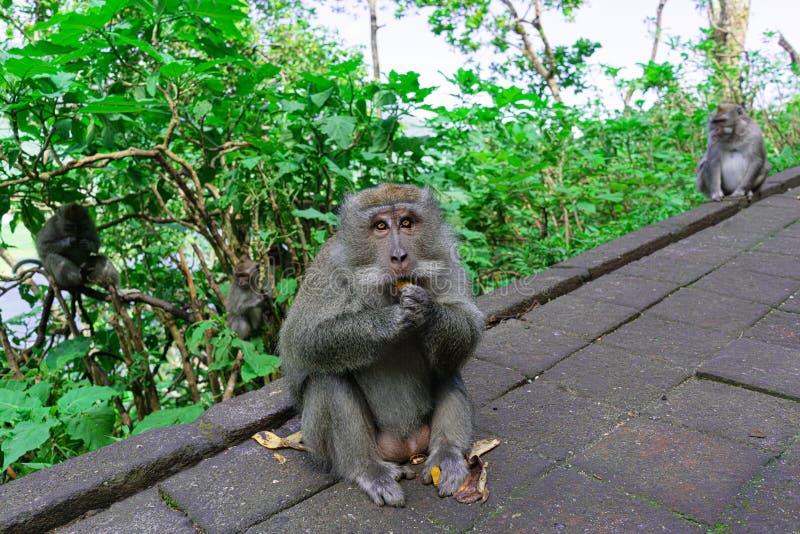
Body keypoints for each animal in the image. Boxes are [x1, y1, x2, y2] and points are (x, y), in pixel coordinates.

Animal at [278, 183, 484, 507]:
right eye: (380, 227)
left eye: (407, 223)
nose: (399, 256)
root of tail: (406, 447)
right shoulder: (327, 267)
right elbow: (300, 341)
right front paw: (387, 321)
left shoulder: (446, 256)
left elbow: (469, 325)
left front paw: (429, 312)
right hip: (324, 445)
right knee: (328, 379)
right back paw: (367, 469)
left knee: (447, 367)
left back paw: (447, 455)